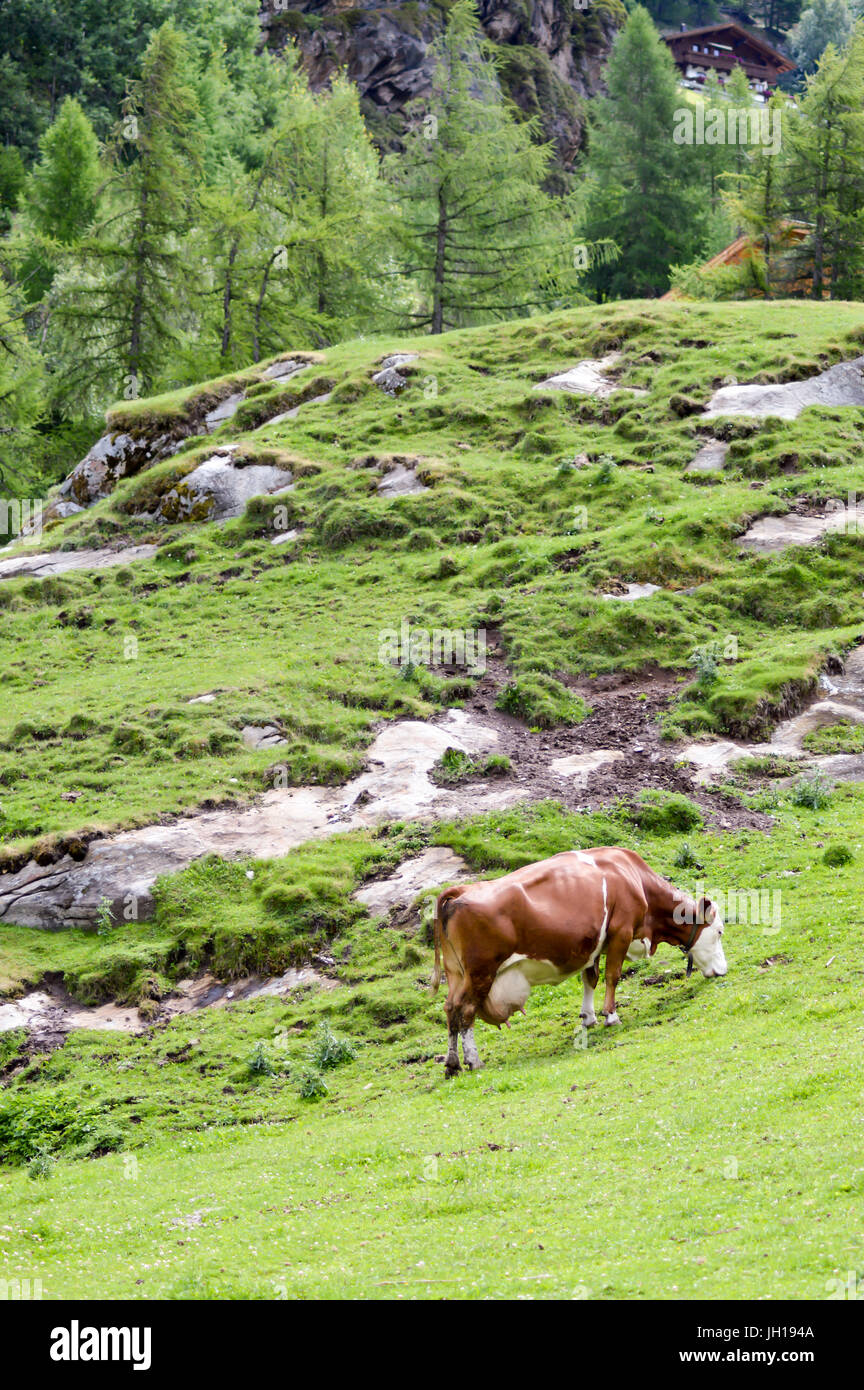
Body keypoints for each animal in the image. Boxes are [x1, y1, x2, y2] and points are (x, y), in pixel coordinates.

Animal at [430, 846, 727, 1077]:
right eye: (720, 931)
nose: (724, 970)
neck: (634, 879)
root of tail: (460, 891)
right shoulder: (621, 932)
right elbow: (612, 976)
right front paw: (611, 1016)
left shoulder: (594, 944)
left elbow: (590, 978)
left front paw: (588, 1017)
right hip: (481, 972)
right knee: (466, 1011)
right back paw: (473, 1060)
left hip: (456, 973)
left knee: (451, 1009)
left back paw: (453, 1064)